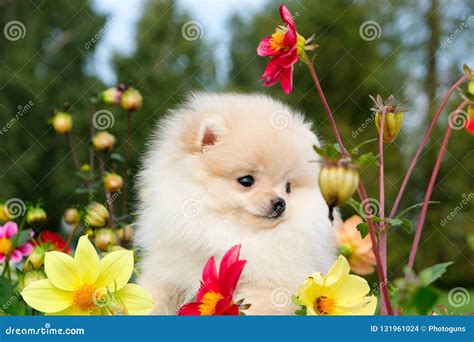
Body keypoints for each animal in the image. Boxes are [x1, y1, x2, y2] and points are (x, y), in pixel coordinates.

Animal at [135, 92, 336, 314]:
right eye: (246, 180)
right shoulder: (167, 271)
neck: (230, 231)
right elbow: (154, 296)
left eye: (288, 187)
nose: (280, 203)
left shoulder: (271, 286)